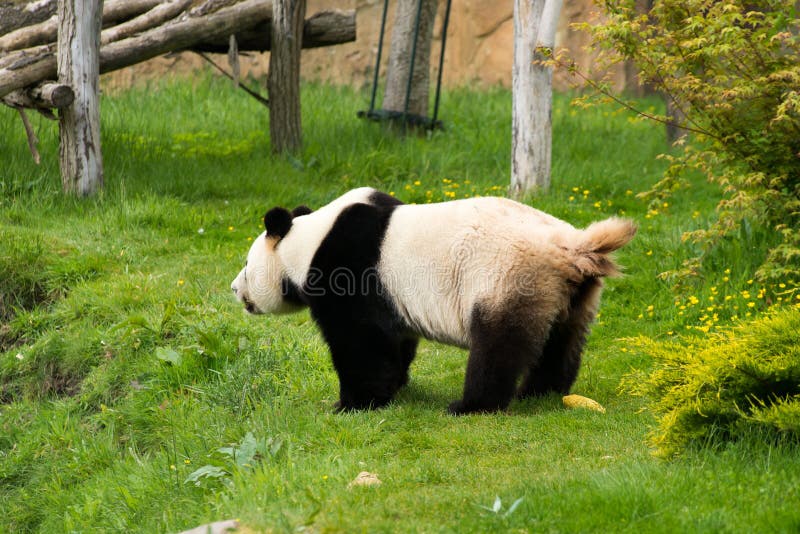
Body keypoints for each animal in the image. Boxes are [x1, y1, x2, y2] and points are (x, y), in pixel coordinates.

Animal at [231, 187, 636, 415]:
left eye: (247, 265)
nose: (235, 290)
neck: (308, 243)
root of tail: (574, 247)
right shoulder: (388, 296)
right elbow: (394, 341)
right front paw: (393, 386)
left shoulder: (349, 269)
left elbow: (360, 343)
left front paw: (352, 403)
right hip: (572, 295)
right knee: (561, 342)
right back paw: (540, 393)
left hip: (508, 277)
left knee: (498, 346)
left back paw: (472, 406)